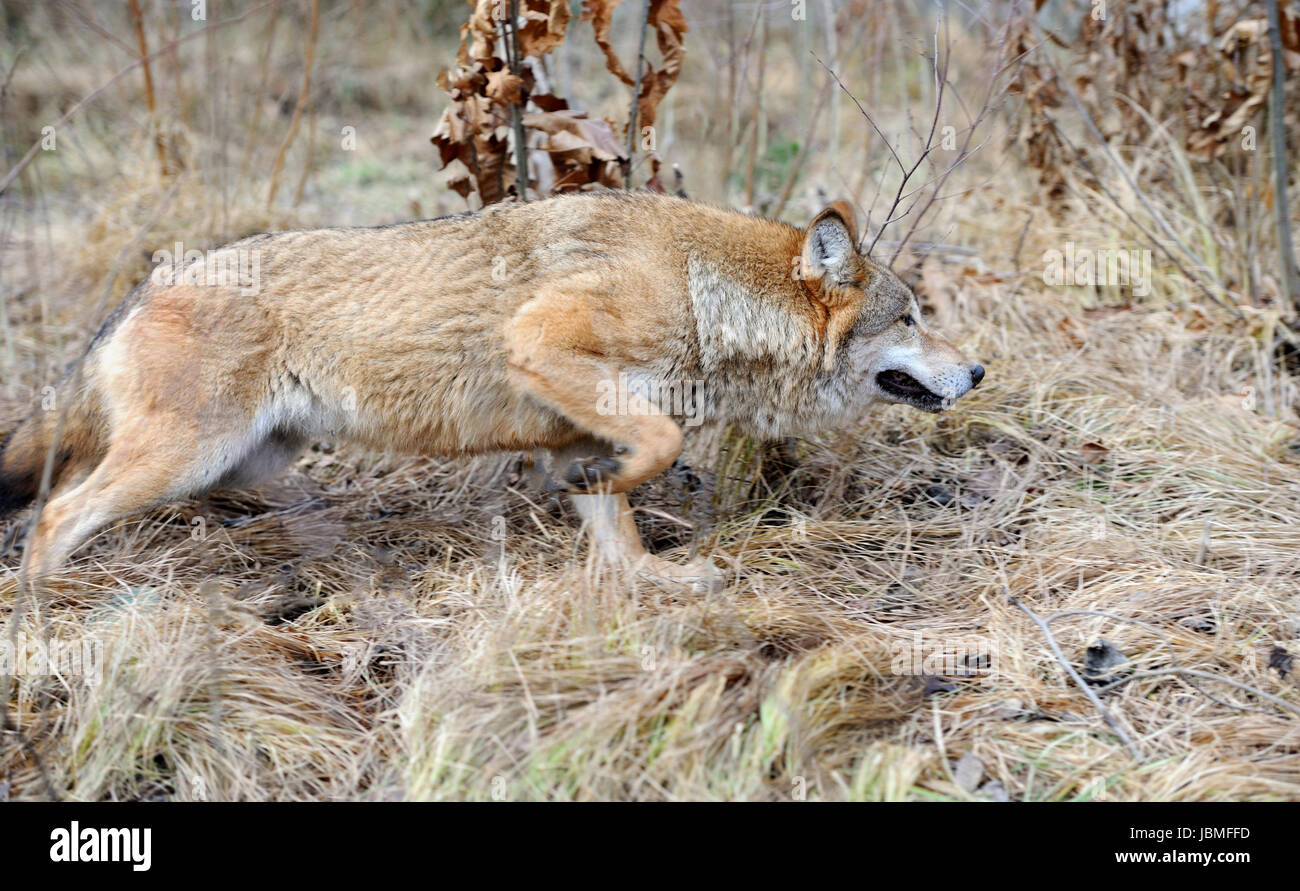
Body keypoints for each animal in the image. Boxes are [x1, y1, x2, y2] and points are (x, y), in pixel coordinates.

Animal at [0, 191, 983, 584]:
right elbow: (660, 447)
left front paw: (655, 585)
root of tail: (146, 284)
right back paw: (49, 608)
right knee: (57, 512)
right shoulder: (539, 343)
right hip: (184, 457)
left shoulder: (584, 432)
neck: (699, 288)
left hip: (244, 461)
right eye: (910, 318)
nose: (978, 370)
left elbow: (620, 528)